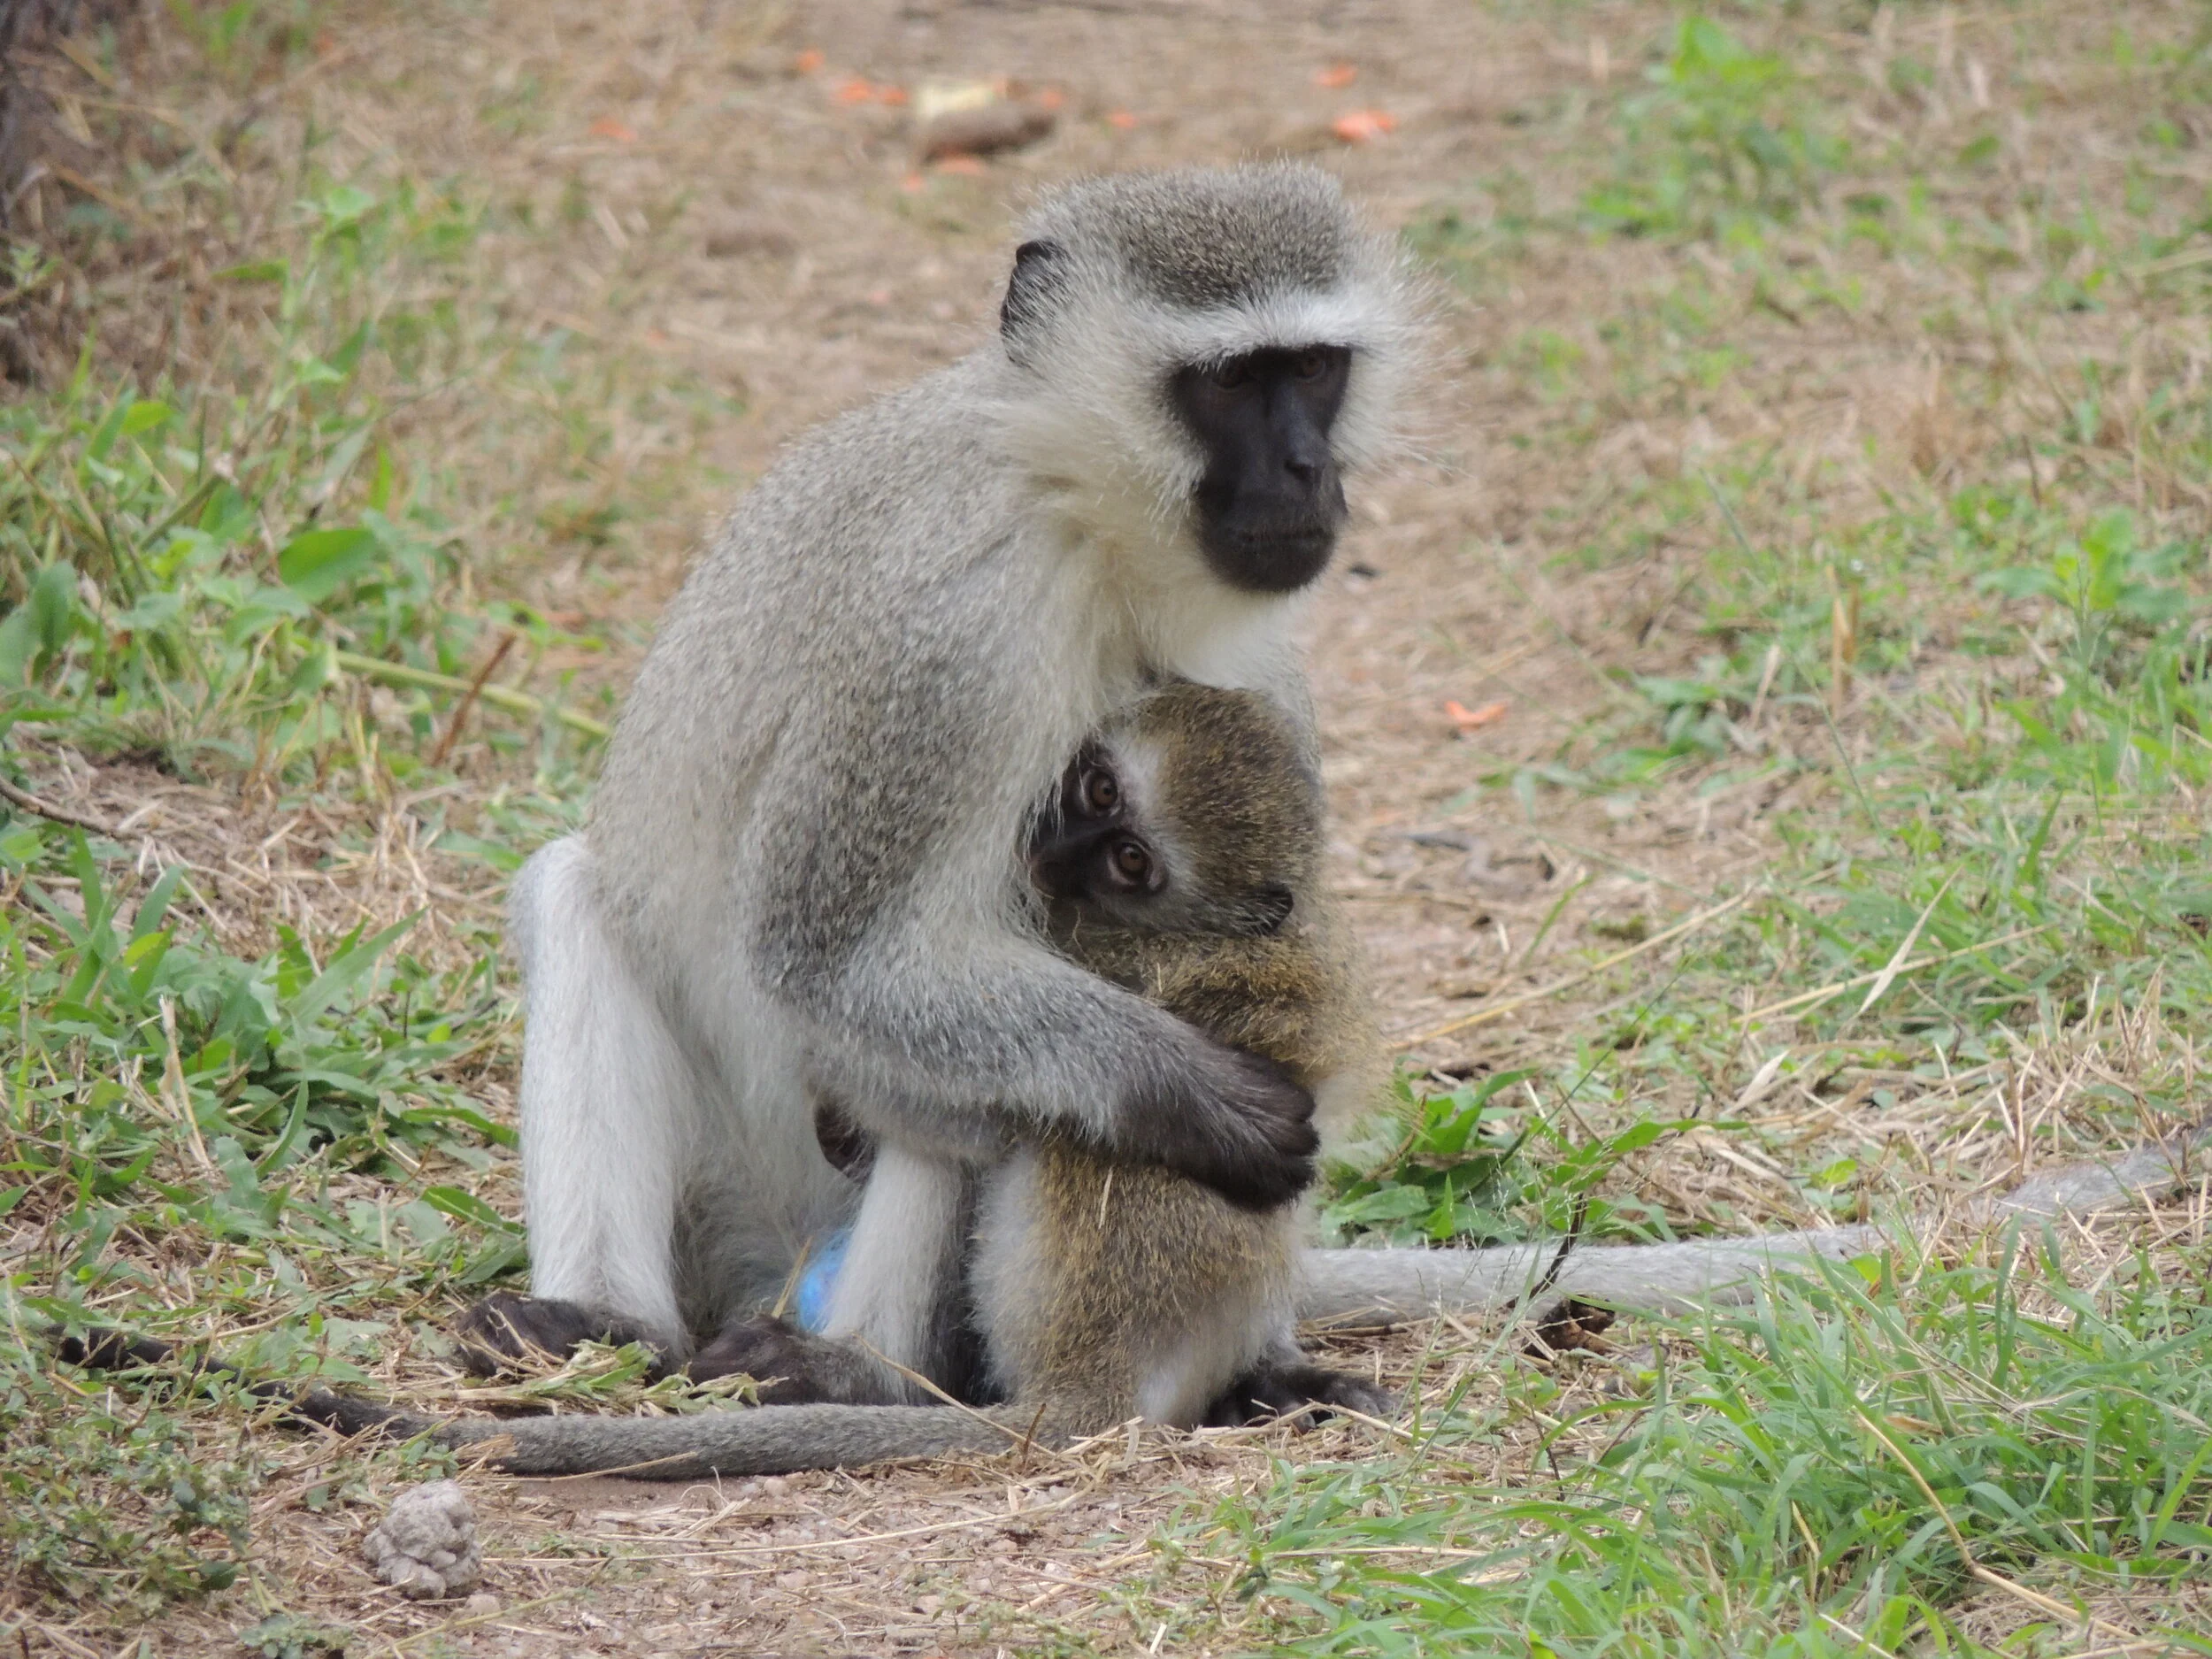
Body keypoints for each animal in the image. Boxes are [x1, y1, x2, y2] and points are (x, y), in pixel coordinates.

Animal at [457, 163, 1422, 1403]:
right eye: (1227, 383)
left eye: (1311, 370)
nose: (1309, 468)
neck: (1081, 525)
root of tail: (776, 1267)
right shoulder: (951, 635)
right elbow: (831, 962)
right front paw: (1183, 1092)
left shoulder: (1256, 676)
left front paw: (1267, 1355)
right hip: (729, 1198)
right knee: (598, 903)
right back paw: (639, 1324)